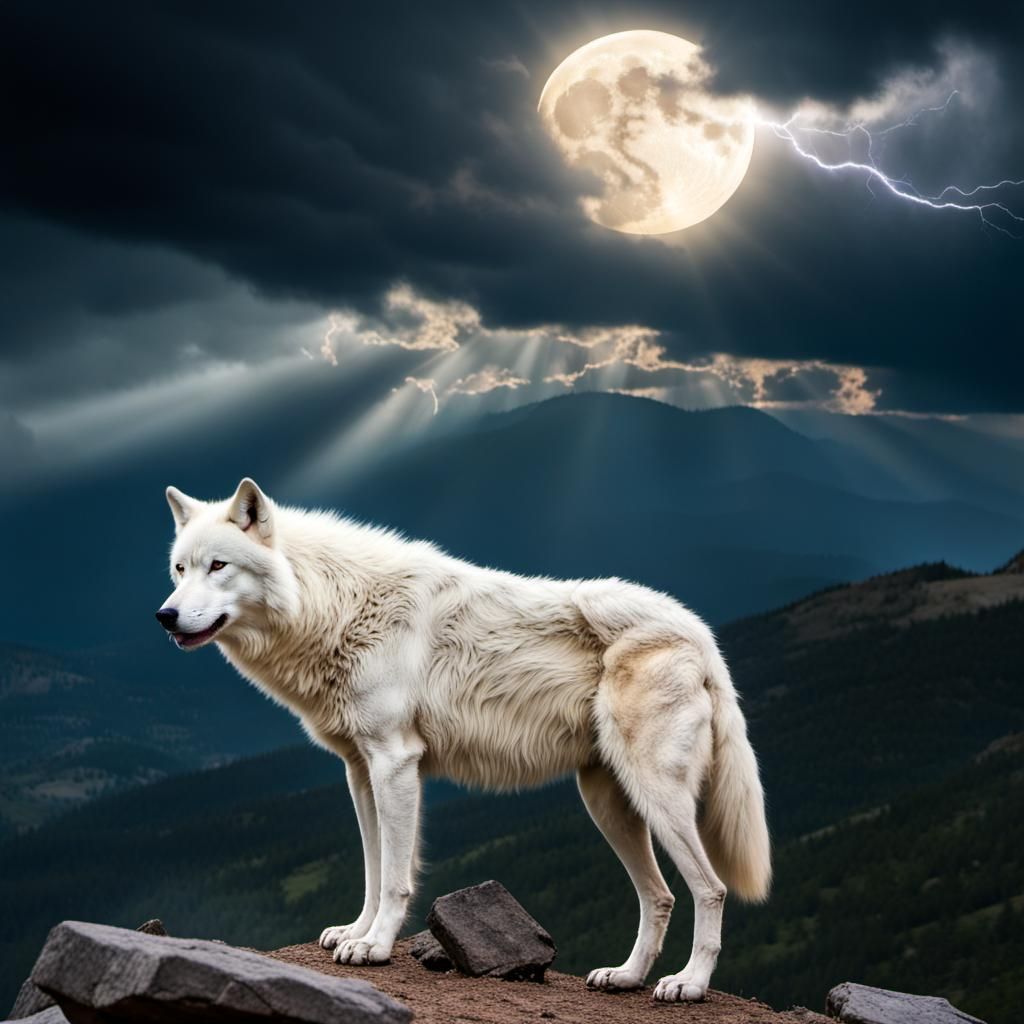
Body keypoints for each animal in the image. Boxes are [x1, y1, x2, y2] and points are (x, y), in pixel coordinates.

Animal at [156, 478, 770, 1001]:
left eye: (219, 566)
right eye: (180, 569)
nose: (165, 615)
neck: (331, 604)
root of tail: (699, 632)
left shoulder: (395, 762)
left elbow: (396, 877)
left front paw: (375, 946)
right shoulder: (359, 770)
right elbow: (372, 869)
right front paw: (354, 933)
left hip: (657, 797)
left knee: (711, 888)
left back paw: (687, 984)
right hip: (607, 803)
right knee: (659, 895)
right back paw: (625, 977)